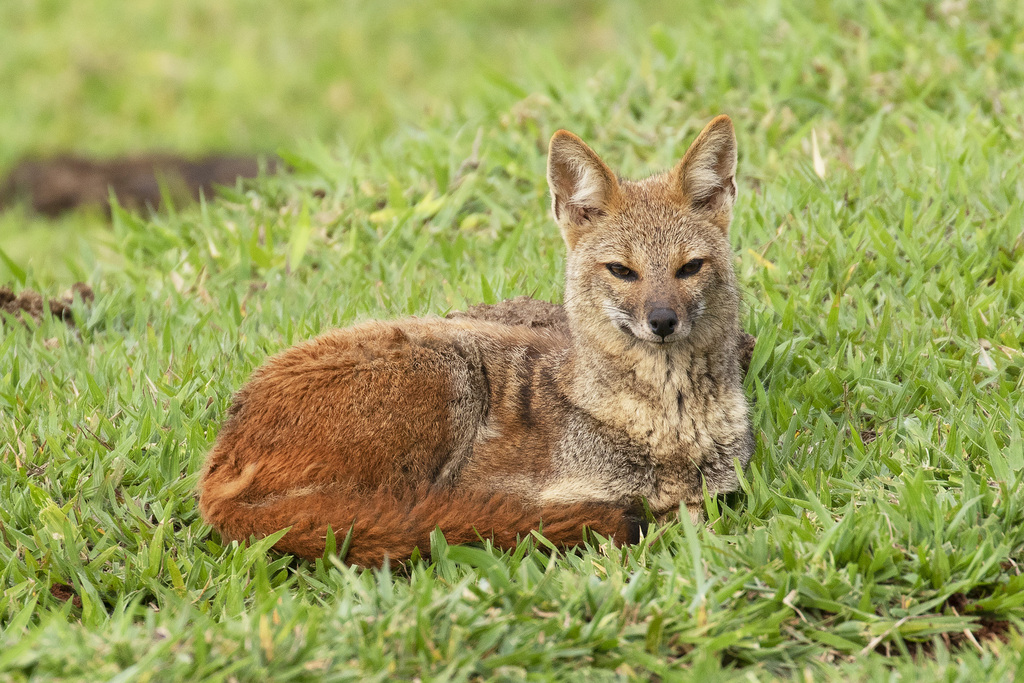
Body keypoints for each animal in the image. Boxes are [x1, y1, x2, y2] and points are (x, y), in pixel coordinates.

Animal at [197, 115, 754, 567]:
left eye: (689, 268)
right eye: (622, 271)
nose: (662, 321)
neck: (670, 426)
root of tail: (218, 464)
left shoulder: (716, 490)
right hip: (447, 380)